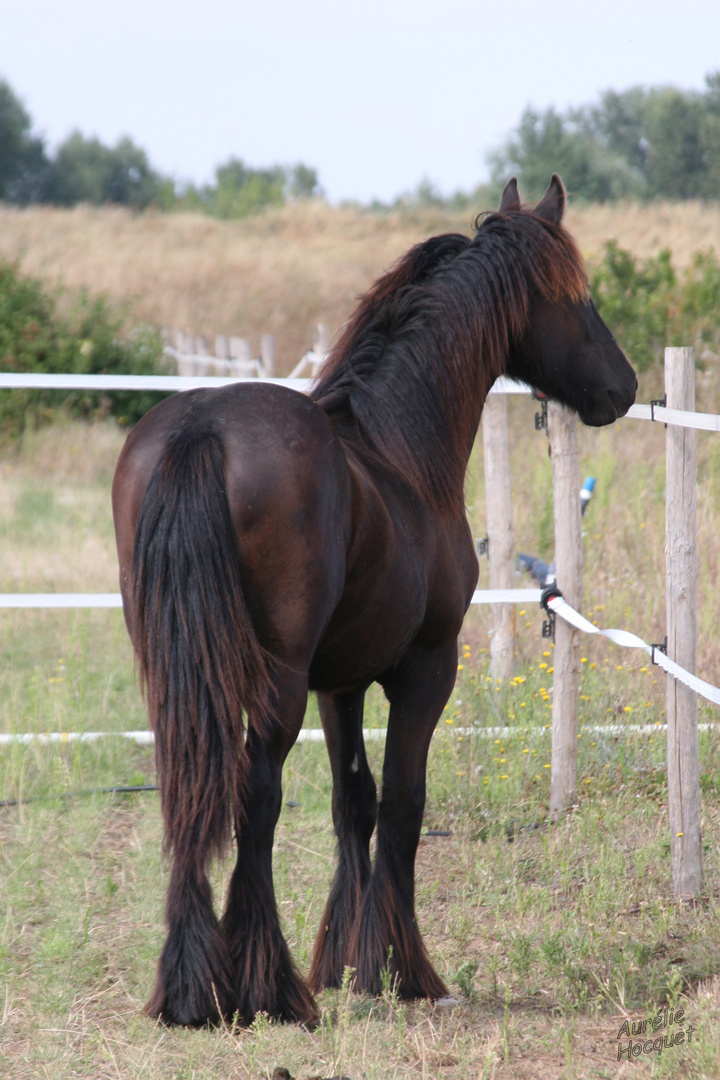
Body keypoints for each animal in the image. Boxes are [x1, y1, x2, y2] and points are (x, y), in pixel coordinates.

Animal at [111, 175, 637, 1028]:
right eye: (576, 298)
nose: (622, 388)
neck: (399, 451)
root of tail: (202, 429)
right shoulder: (423, 671)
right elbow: (402, 804)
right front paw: (403, 970)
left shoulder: (342, 681)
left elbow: (351, 801)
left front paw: (348, 961)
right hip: (278, 682)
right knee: (255, 796)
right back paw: (267, 987)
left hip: (184, 671)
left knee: (190, 785)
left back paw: (192, 988)